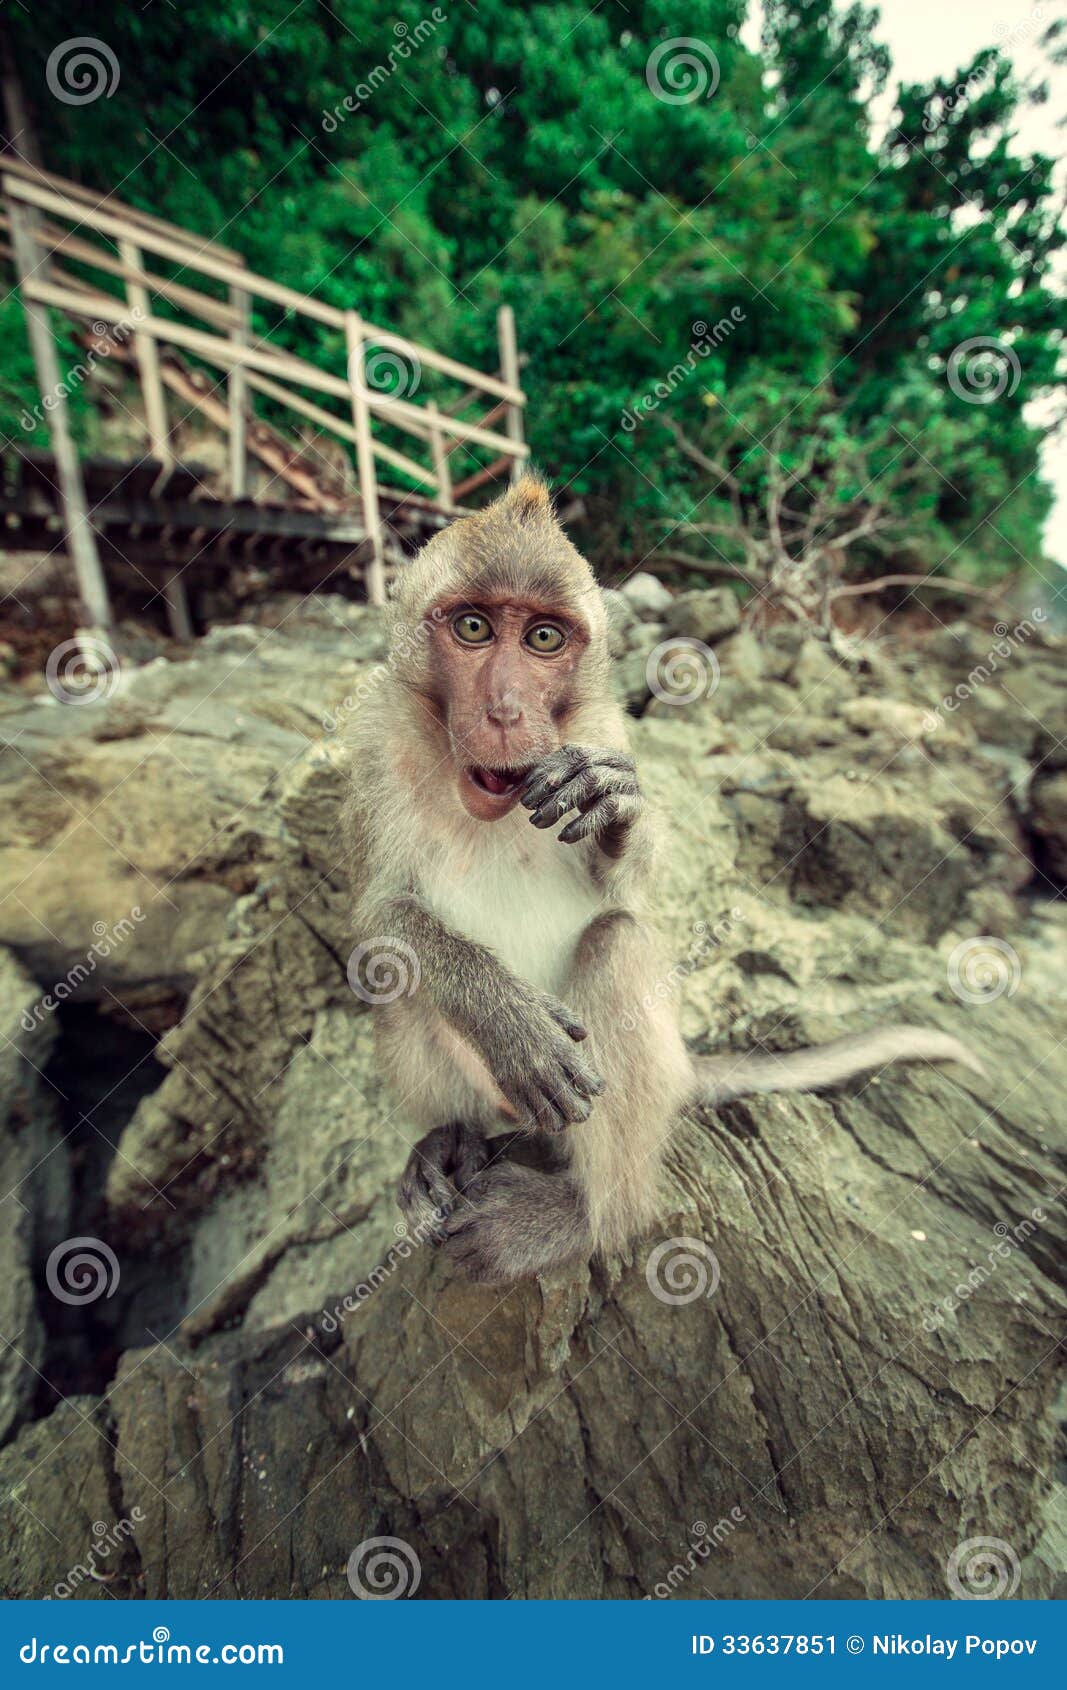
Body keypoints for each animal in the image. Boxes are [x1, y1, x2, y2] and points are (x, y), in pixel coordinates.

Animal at [342, 475, 980, 1284]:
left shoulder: (605, 731)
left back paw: (589, 1217)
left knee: (614, 947)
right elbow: (379, 916)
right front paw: (505, 1017)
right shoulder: (373, 741)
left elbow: (627, 898)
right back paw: (448, 1142)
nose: (507, 710)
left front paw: (613, 805)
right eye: (474, 627)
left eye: (543, 639)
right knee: (398, 987)